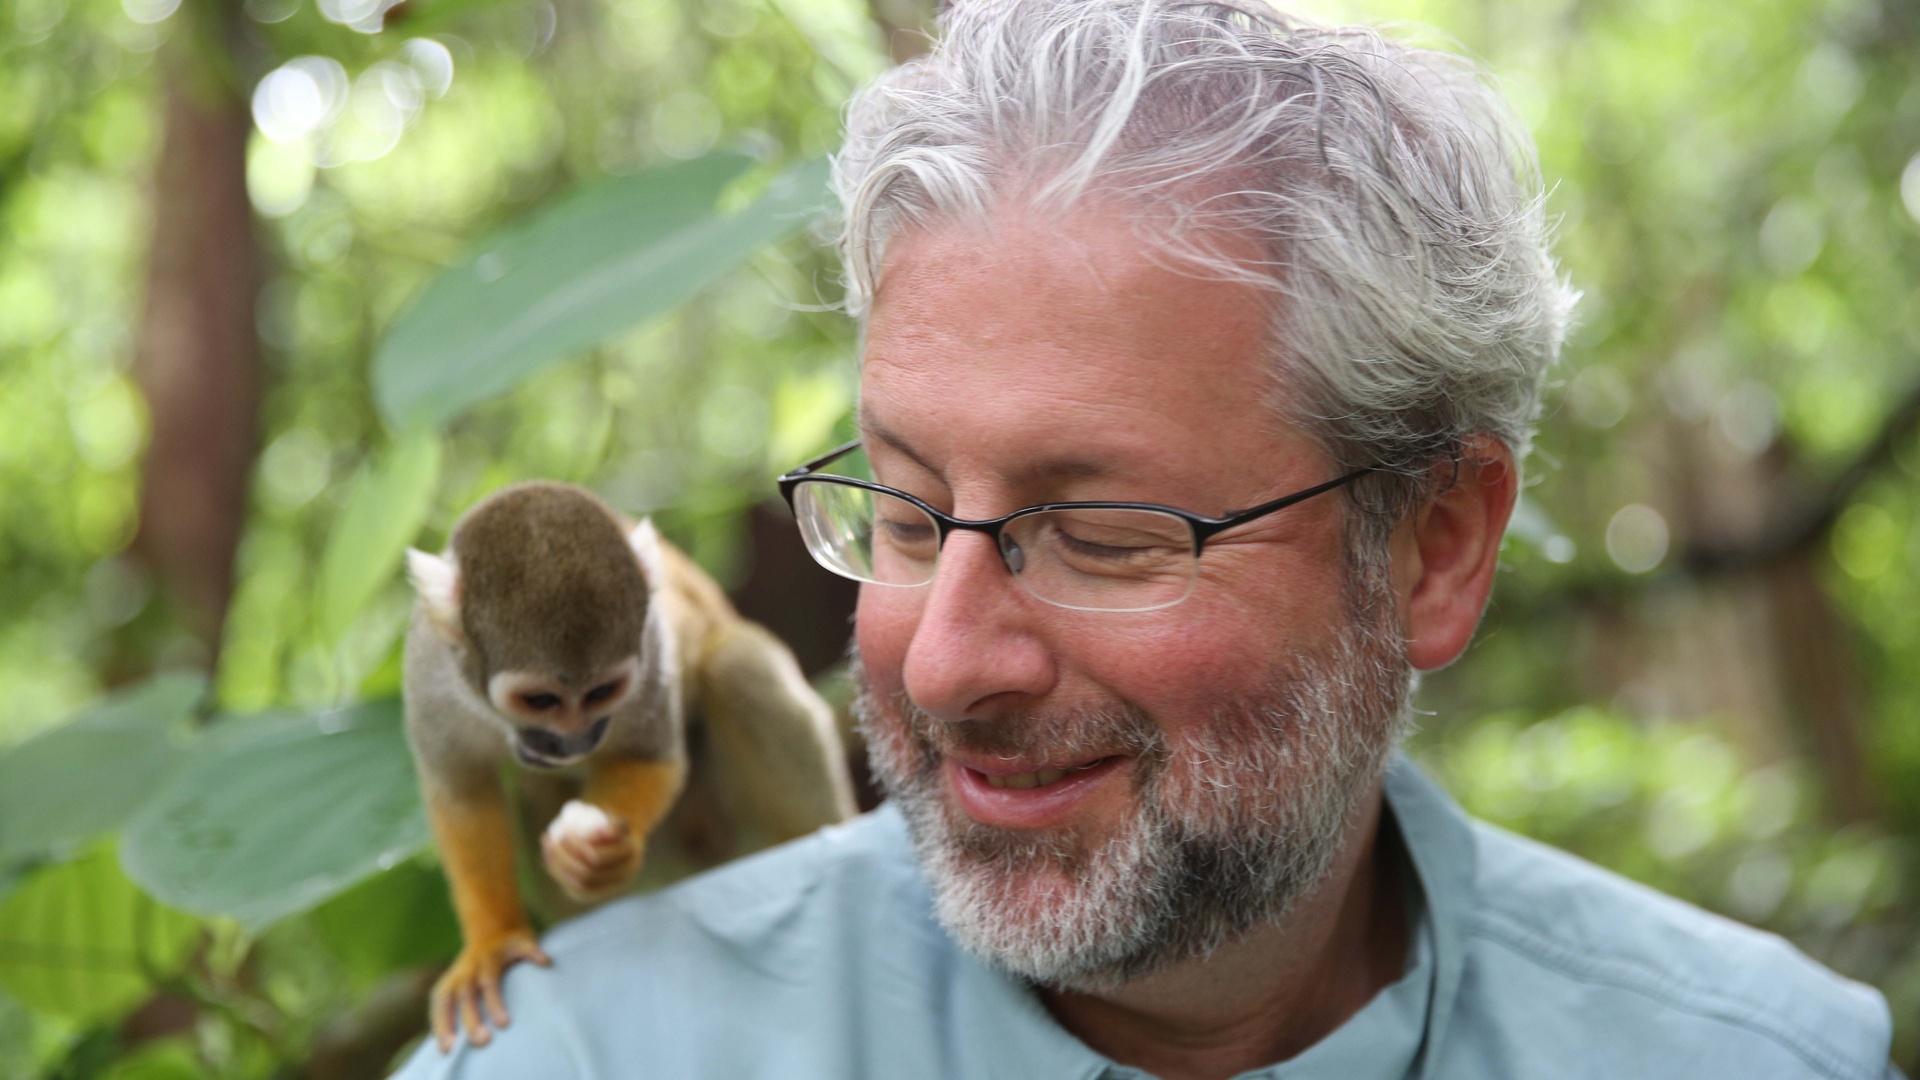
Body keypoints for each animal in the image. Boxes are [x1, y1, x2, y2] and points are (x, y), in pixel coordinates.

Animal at [402, 481, 857, 1052]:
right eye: (539, 701)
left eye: (601, 693)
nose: (576, 741)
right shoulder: (429, 667)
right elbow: (463, 790)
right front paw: (495, 941)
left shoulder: (650, 648)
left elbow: (650, 759)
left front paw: (602, 859)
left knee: (735, 664)